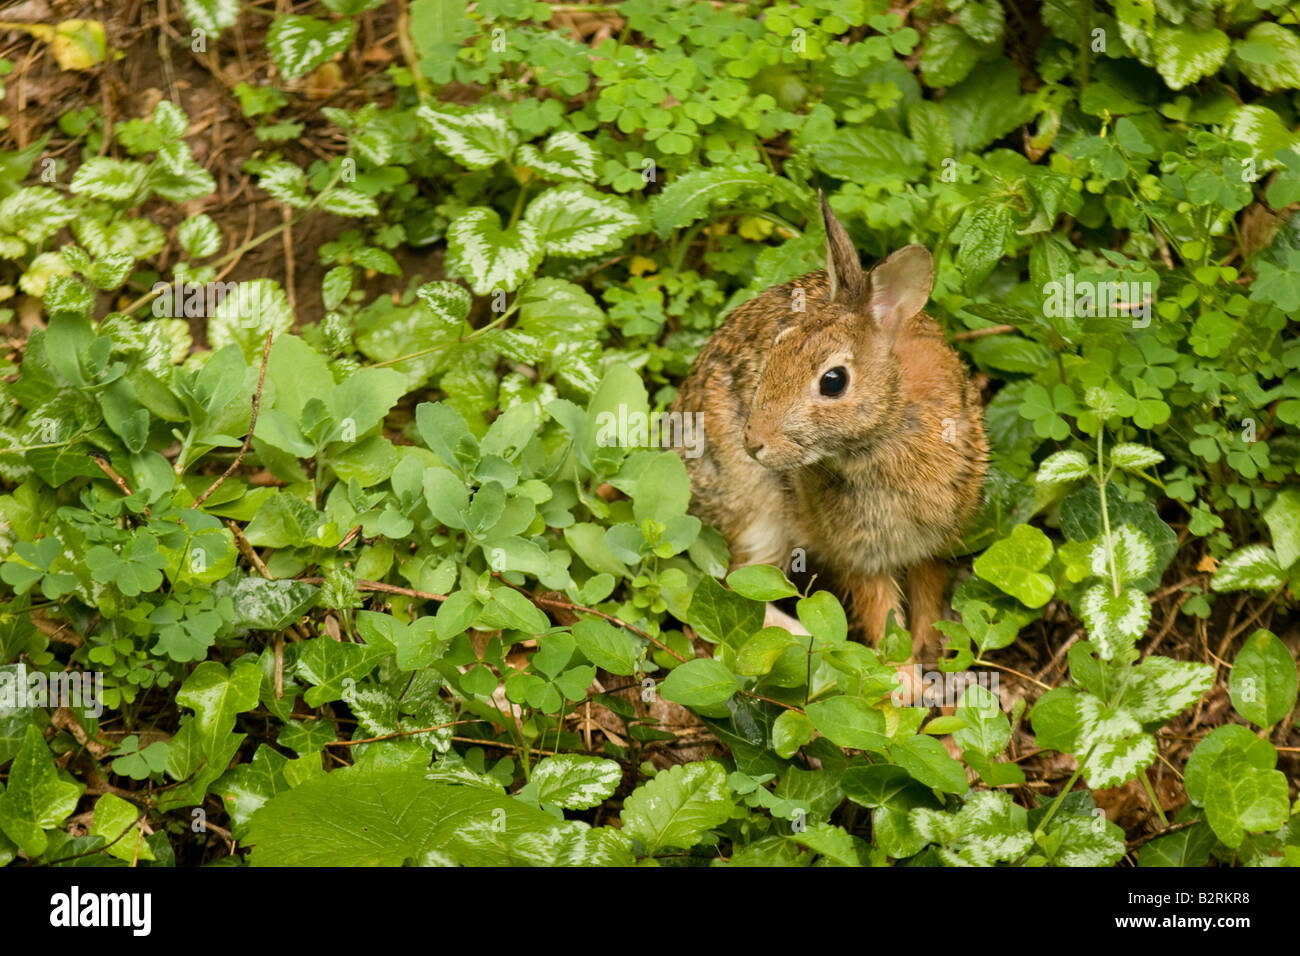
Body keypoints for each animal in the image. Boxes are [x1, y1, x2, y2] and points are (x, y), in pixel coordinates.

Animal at [672, 194, 987, 661]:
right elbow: (881, 613)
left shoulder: (932, 544)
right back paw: (810, 641)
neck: (891, 424)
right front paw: (902, 674)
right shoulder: (859, 554)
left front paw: (928, 645)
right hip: (757, 514)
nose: (753, 442)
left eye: (833, 381)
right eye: (776, 348)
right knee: (737, 585)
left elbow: (926, 594)